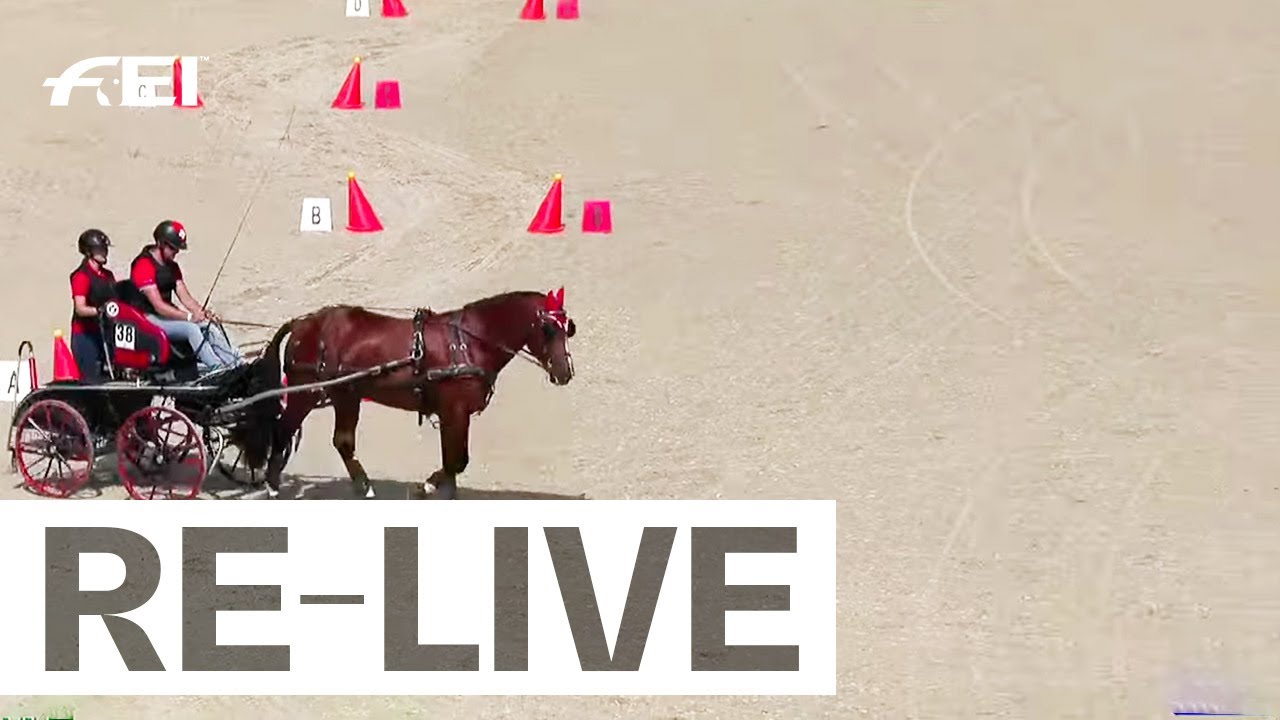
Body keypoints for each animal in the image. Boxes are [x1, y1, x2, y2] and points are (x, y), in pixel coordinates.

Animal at [241, 288, 576, 499]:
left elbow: (455, 460)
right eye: (548, 329)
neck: (468, 342)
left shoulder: (454, 414)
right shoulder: (454, 411)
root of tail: (302, 323)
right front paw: (427, 487)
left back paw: (363, 485)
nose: (565, 372)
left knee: (342, 442)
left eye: (568, 328)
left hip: (345, 395)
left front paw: (442, 490)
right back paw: (273, 485)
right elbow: (456, 461)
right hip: (307, 392)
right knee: (283, 430)